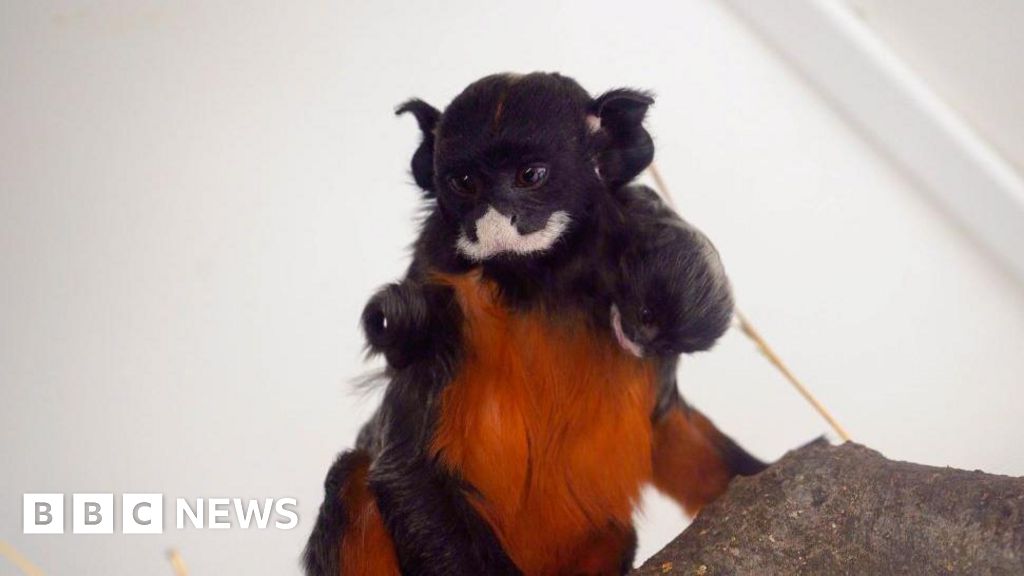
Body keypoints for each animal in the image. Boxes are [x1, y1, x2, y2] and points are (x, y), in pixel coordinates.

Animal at [304, 72, 765, 576]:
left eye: (530, 176)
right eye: (466, 183)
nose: (494, 220)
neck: (539, 287)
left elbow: (669, 427)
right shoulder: (436, 302)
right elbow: (405, 470)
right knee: (351, 478)